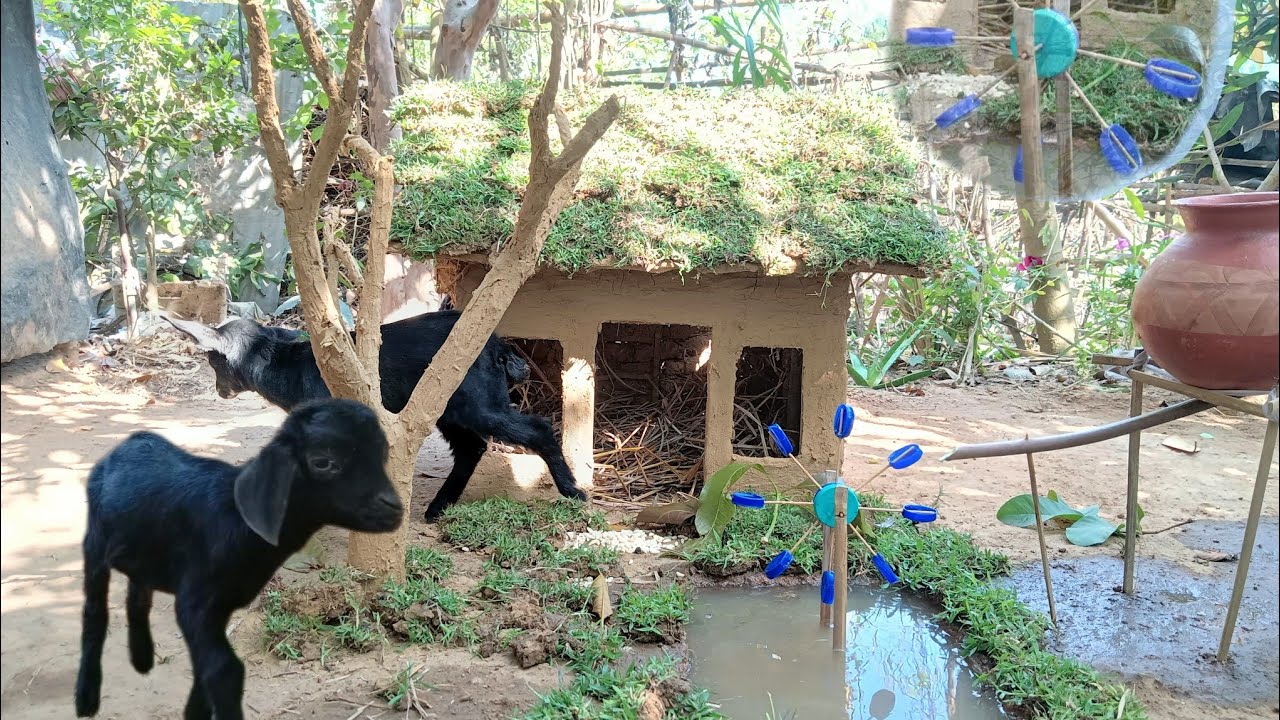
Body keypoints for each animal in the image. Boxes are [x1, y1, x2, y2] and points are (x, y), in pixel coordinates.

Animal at [74, 398, 403, 720]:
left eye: (382, 454)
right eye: (323, 462)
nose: (395, 509)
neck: (238, 521)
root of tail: (126, 444)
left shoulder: (223, 603)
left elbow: (203, 668)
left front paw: (195, 711)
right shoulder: (196, 600)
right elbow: (223, 668)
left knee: (138, 591)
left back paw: (141, 657)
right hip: (94, 543)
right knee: (94, 611)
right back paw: (86, 697)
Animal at [164, 311, 586, 521]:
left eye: (212, 361)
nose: (219, 390)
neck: (285, 362)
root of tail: (497, 344)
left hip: (477, 405)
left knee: (537, 428)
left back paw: (572, 489)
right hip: (446, 408)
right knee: (471, 449)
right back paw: (439, 506)